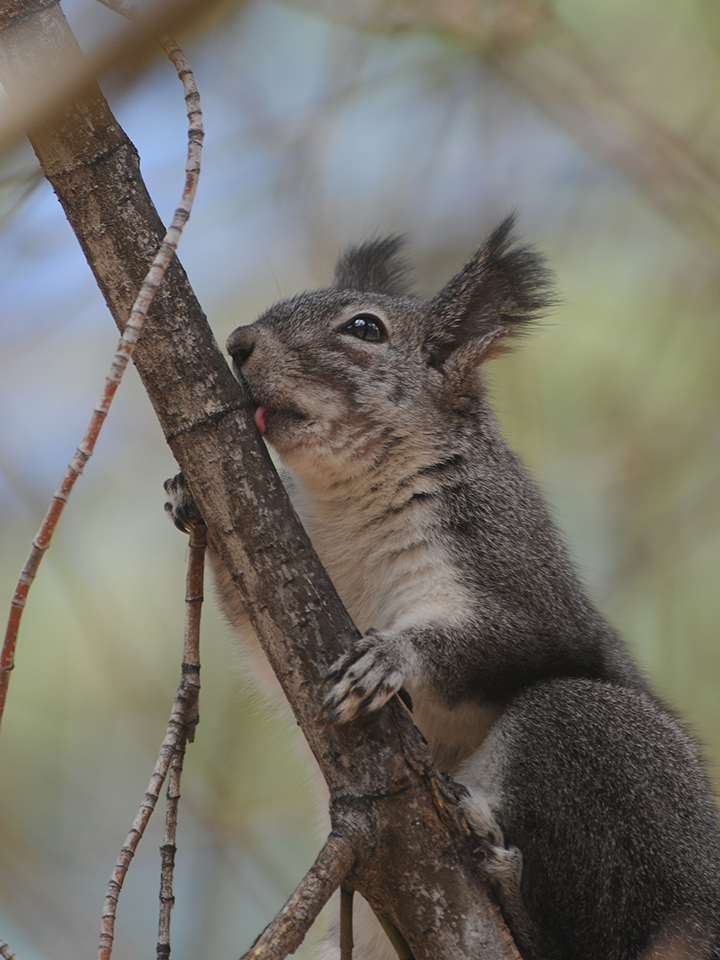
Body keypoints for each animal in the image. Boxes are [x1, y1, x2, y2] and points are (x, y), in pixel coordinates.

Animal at [165, 216, 720, 960]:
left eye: (365, 328)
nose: (239, 342)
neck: (349, 498)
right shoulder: (292, 570)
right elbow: (257, 626)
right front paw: (189, 495)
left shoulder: (507, 557)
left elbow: (509, 639)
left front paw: (389, 658)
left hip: (601, 746)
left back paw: (507, 884)